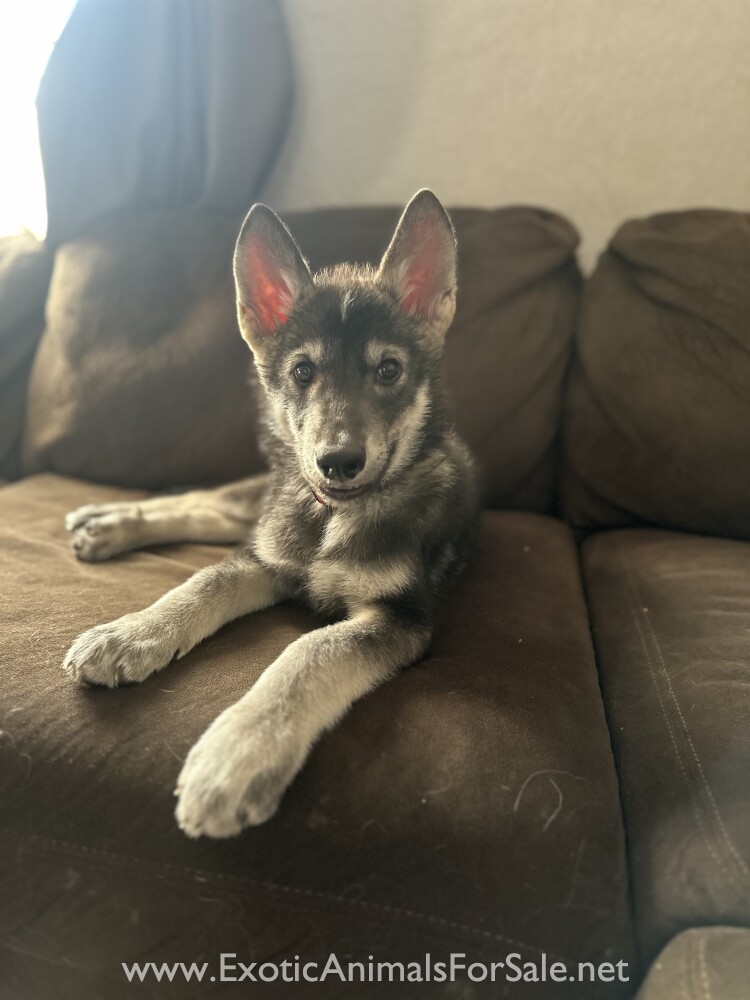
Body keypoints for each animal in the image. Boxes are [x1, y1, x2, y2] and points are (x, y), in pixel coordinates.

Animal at [62, 190, 480, 838]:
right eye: (303, 372)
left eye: (388, 370)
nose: (338, 462)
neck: (330, 523)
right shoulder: (268, 561)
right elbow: (202, 582)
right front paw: (131, 632)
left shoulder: (401, 615)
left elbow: (309, 653)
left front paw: (238, 754)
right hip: (261, 513)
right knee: (198, 501)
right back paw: (101, 521)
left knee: (204, 510)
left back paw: (101, 527)